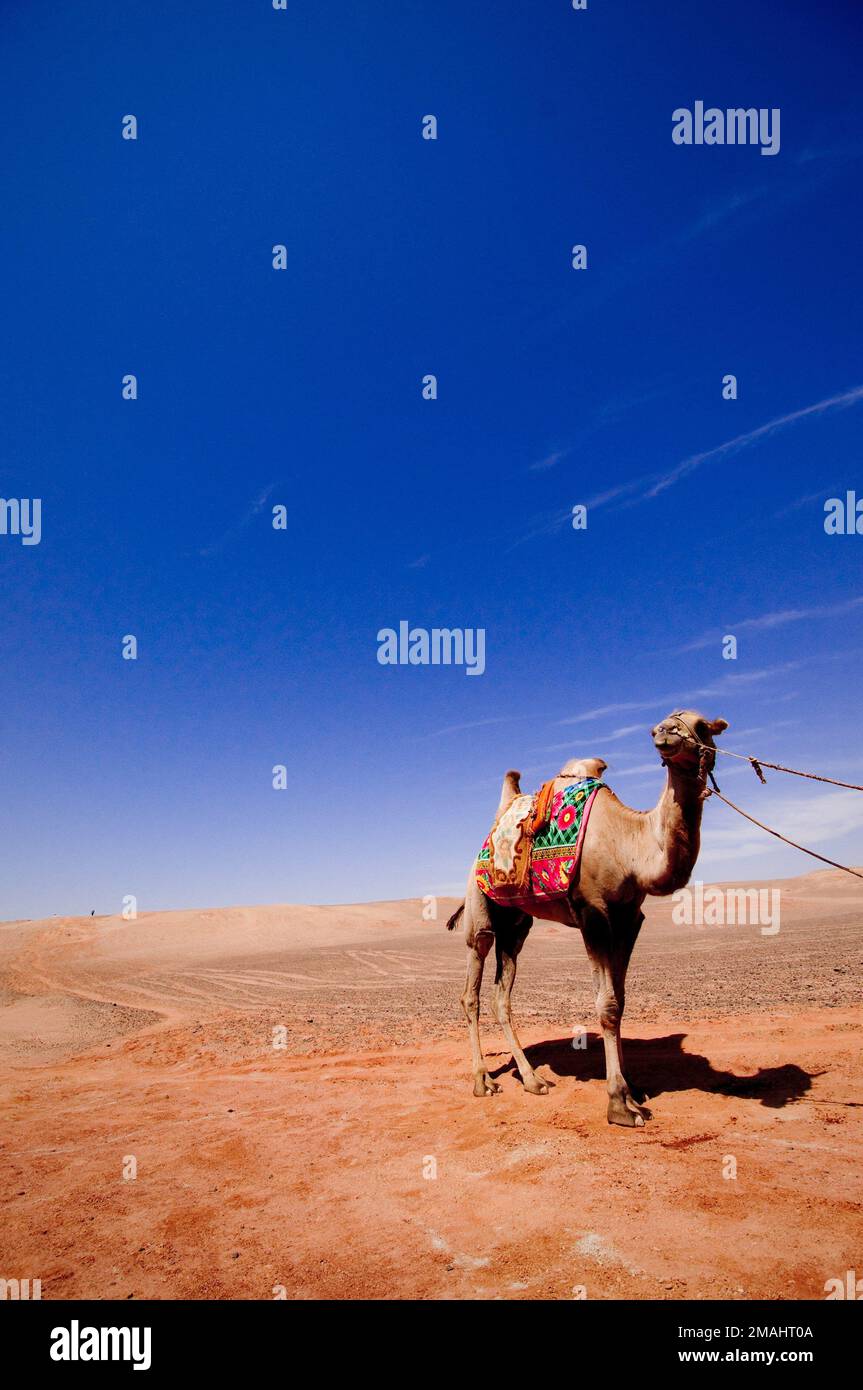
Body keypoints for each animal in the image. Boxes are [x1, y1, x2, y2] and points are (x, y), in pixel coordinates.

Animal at [447, 709, 728, 1126]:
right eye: (663, 724)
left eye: (702, 726)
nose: (664, 733)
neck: (631, 845)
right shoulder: (592, 913)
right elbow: (606, 1004)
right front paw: (619, 1105)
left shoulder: (629, 918)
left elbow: (620, 1001)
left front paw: (634, 1088)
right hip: (480, 906)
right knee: (472, 986)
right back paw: (483, 1081)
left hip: (517, 924)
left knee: (502, 995)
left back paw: (532, 1080)